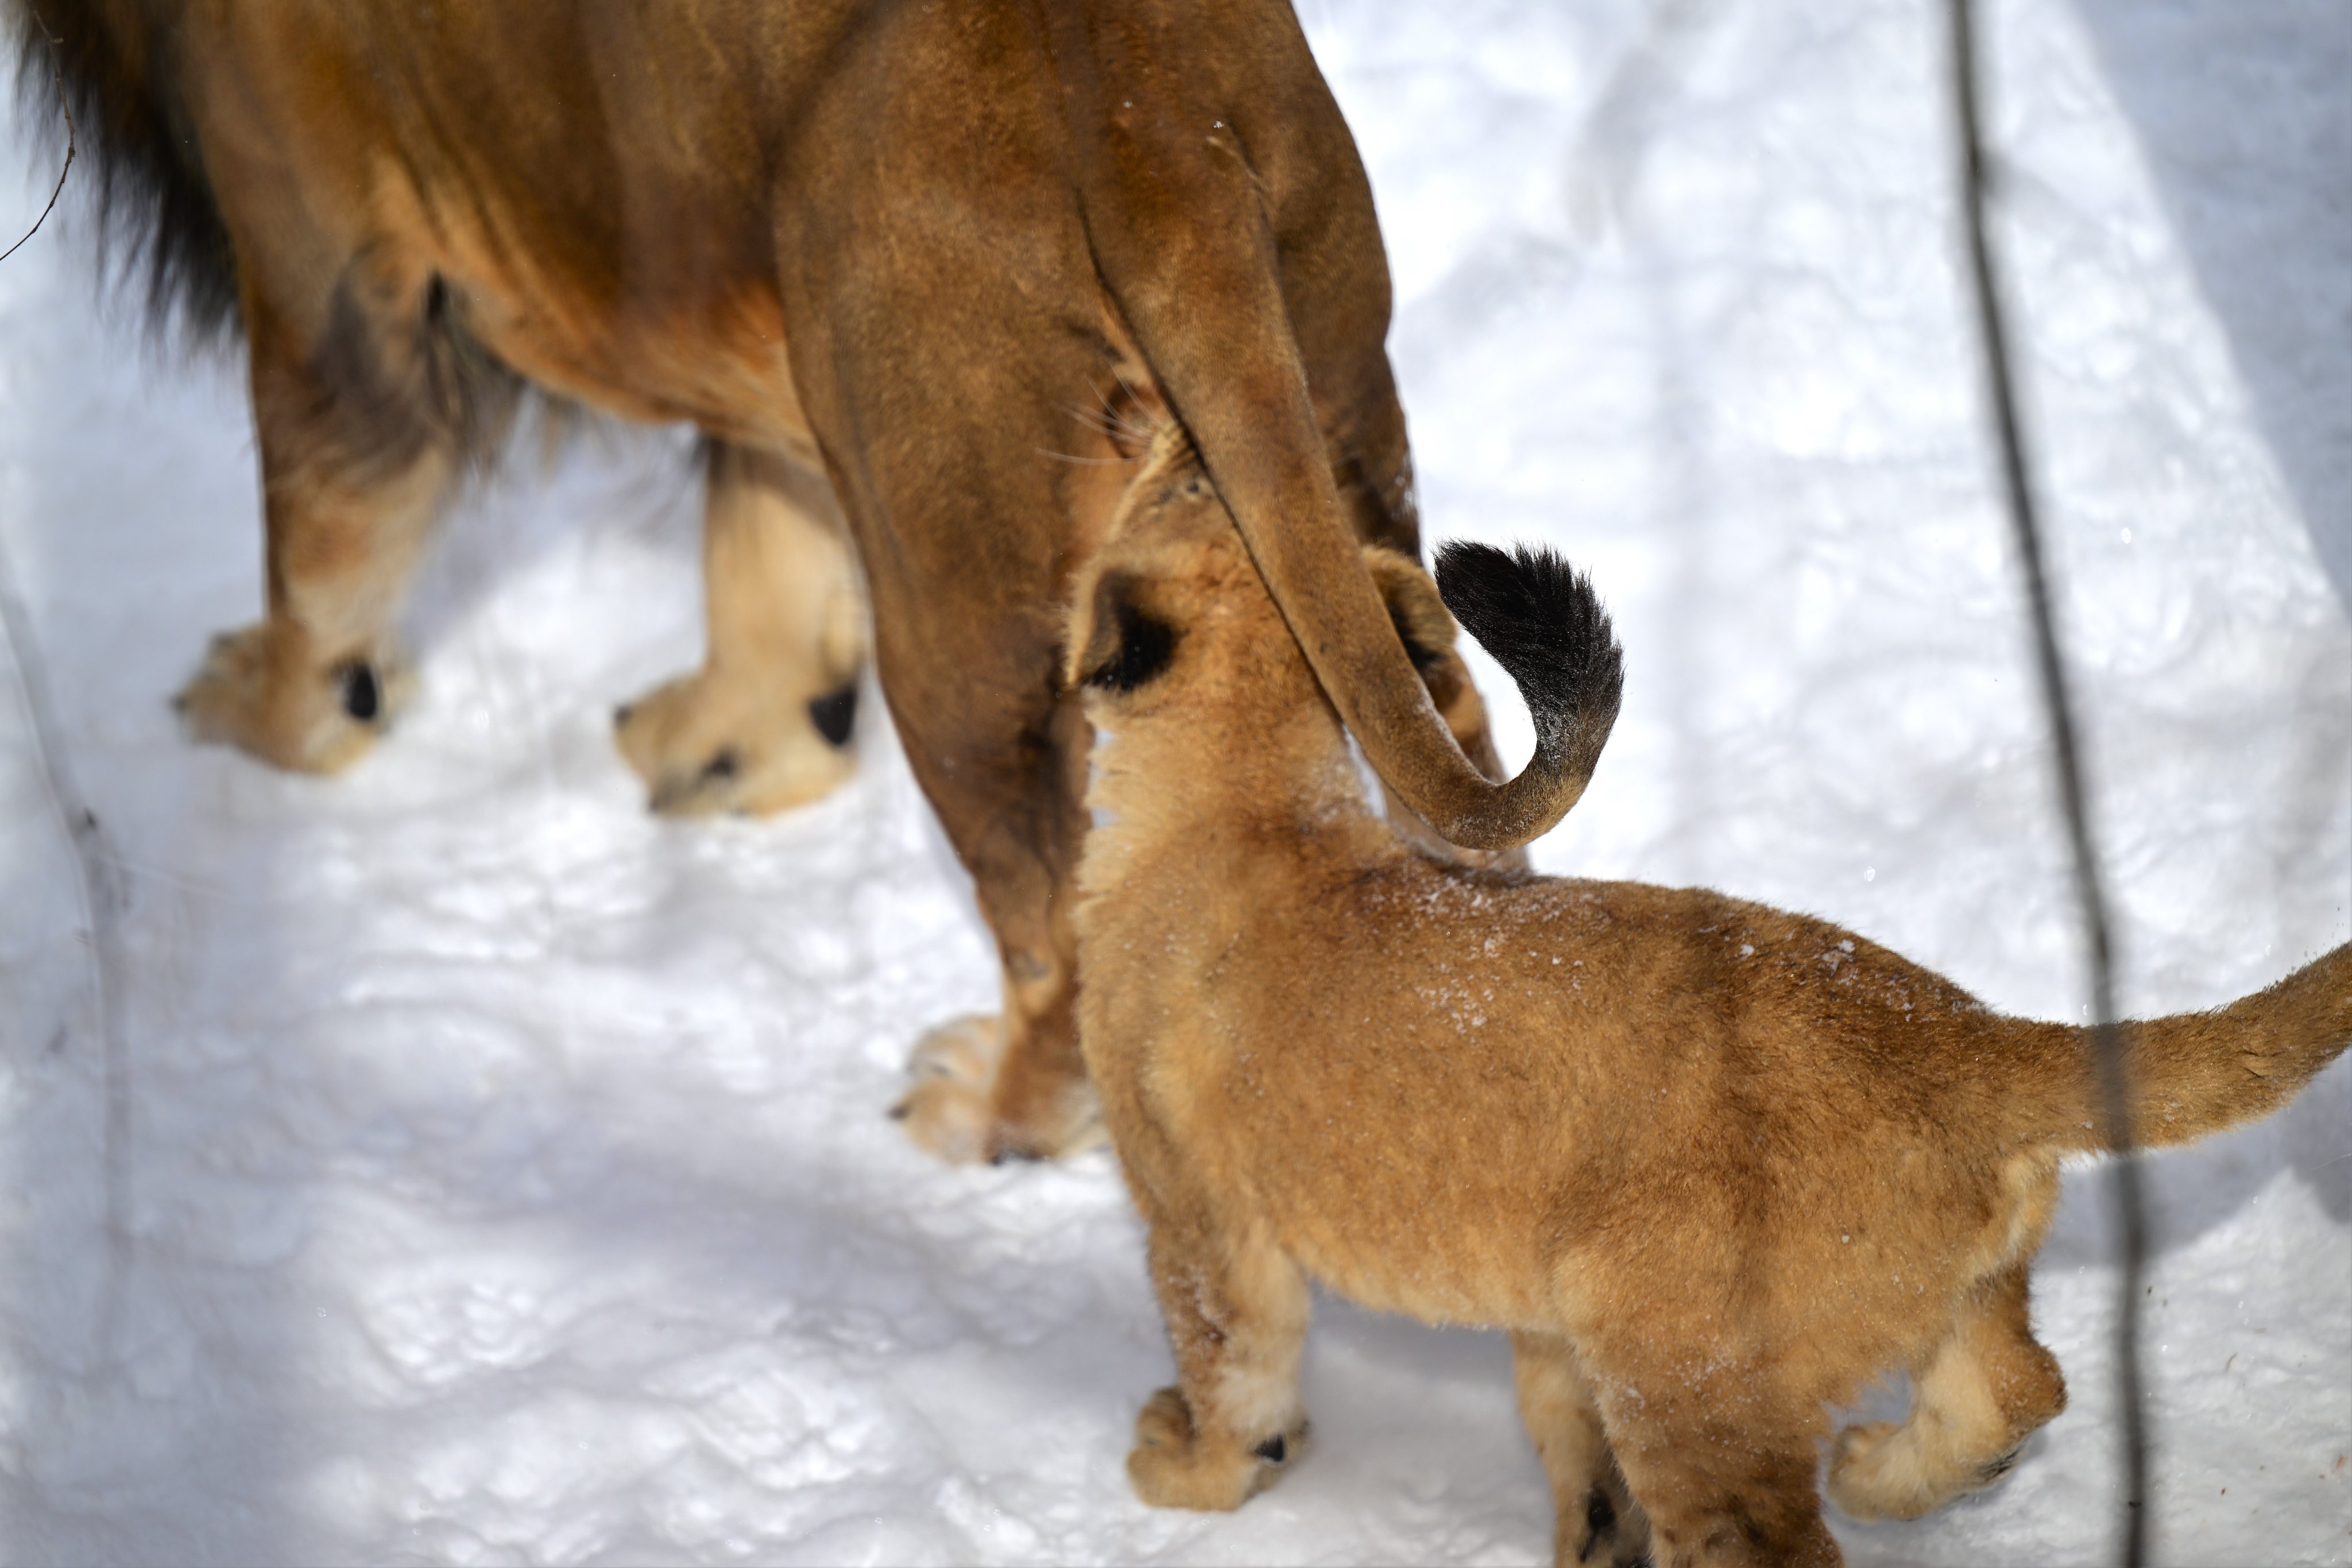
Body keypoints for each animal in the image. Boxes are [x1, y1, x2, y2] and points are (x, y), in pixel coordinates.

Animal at [14, 0, 1552, 1162]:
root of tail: (1149, 120)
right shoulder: (777, 366)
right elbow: (758, 557)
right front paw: (732, 750)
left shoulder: (323, 259)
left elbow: (323, 560)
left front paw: (252, 710)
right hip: (1332, 438)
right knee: (1455, 747)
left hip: (956, 613)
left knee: (1052, 922)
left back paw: (986, 1115)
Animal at [1065, 427, 2352, 1568]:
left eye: (1173, 488)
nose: (1183, 436)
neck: (1259, 797)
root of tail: (1959, 1031)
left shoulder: (1193, 1209)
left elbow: (1237, 1371)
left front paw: (1182, 1471)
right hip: (1952, 1288)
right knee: (2019, 1384)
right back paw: (1885, 1474)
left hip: (1683, 1371)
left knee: (1776, 1538)